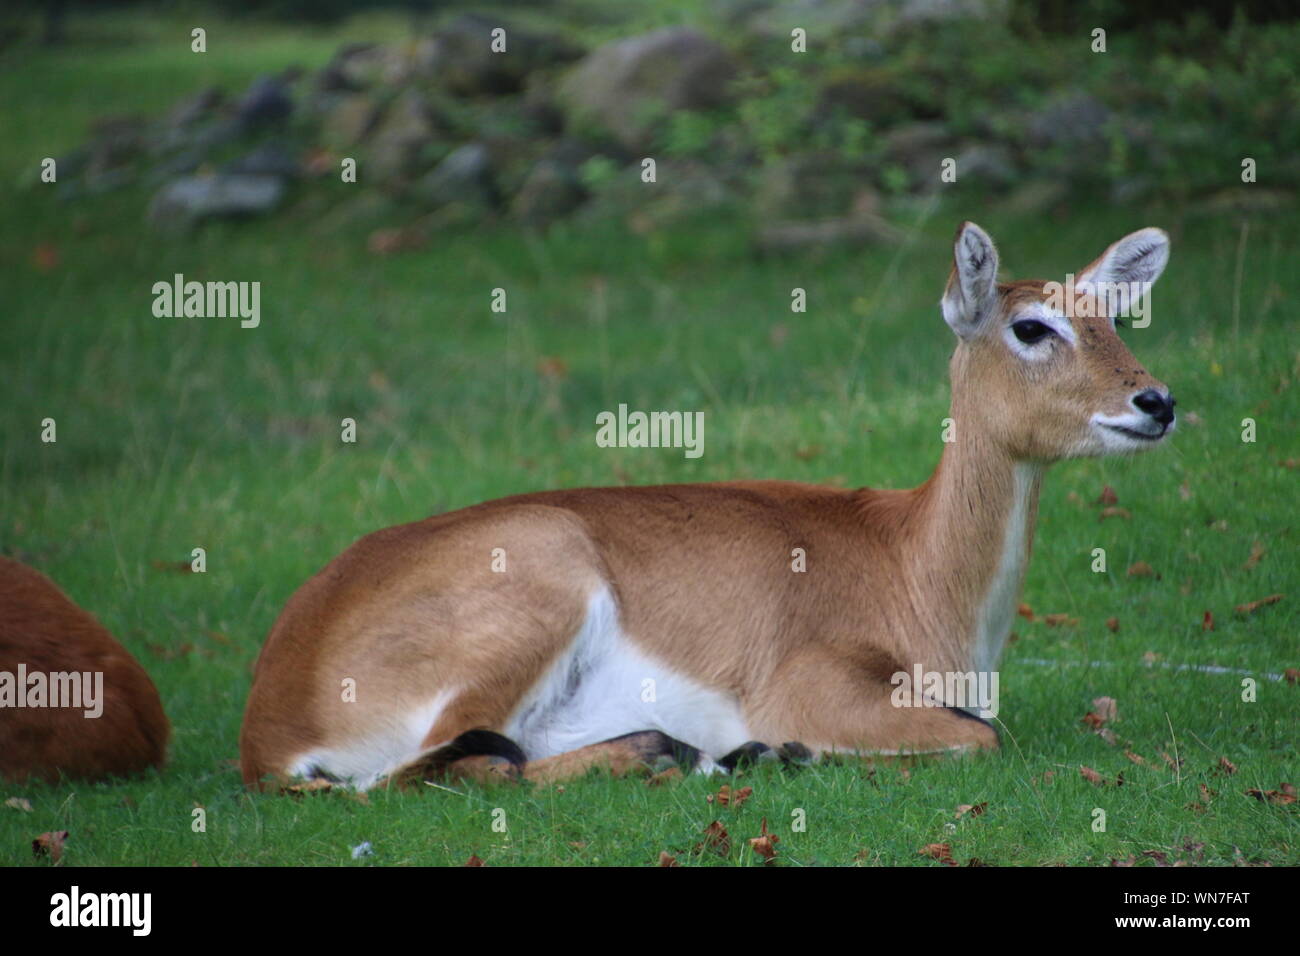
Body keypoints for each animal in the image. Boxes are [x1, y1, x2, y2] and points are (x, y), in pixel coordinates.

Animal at [240, 222, 1175, 790]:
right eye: (1031, 327)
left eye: (1113, 318)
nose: (1157, 401)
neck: (912, 568)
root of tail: (271, 722)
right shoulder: (812, 685)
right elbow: (982, 736)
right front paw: (788, 747)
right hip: (539, 583)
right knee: (442, 767)